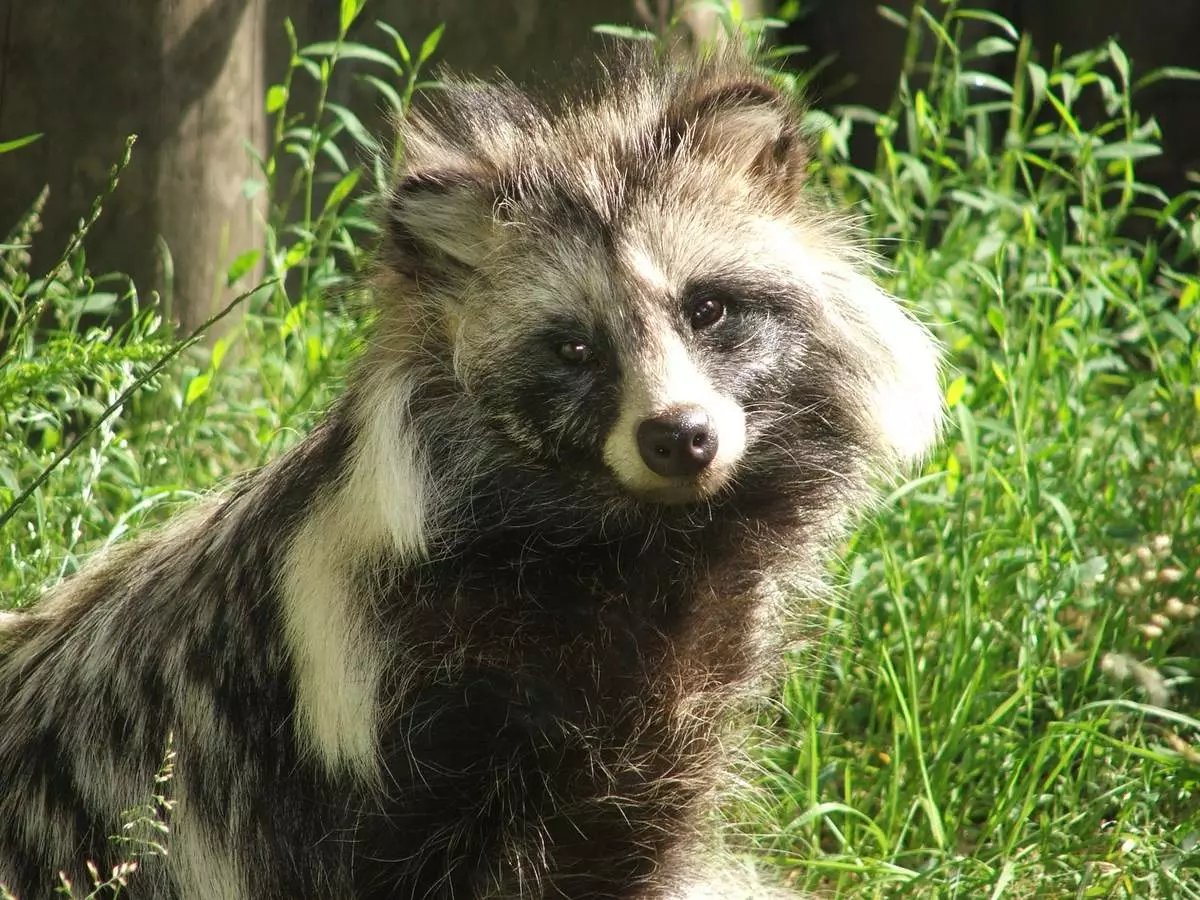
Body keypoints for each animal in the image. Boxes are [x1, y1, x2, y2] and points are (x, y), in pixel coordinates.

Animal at [0, 49, 936, 900]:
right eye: (574, 348)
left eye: (707, 307)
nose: (680, 437)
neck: (629, 545)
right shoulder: (366, 712)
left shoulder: (662, 723)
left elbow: (631, 842)